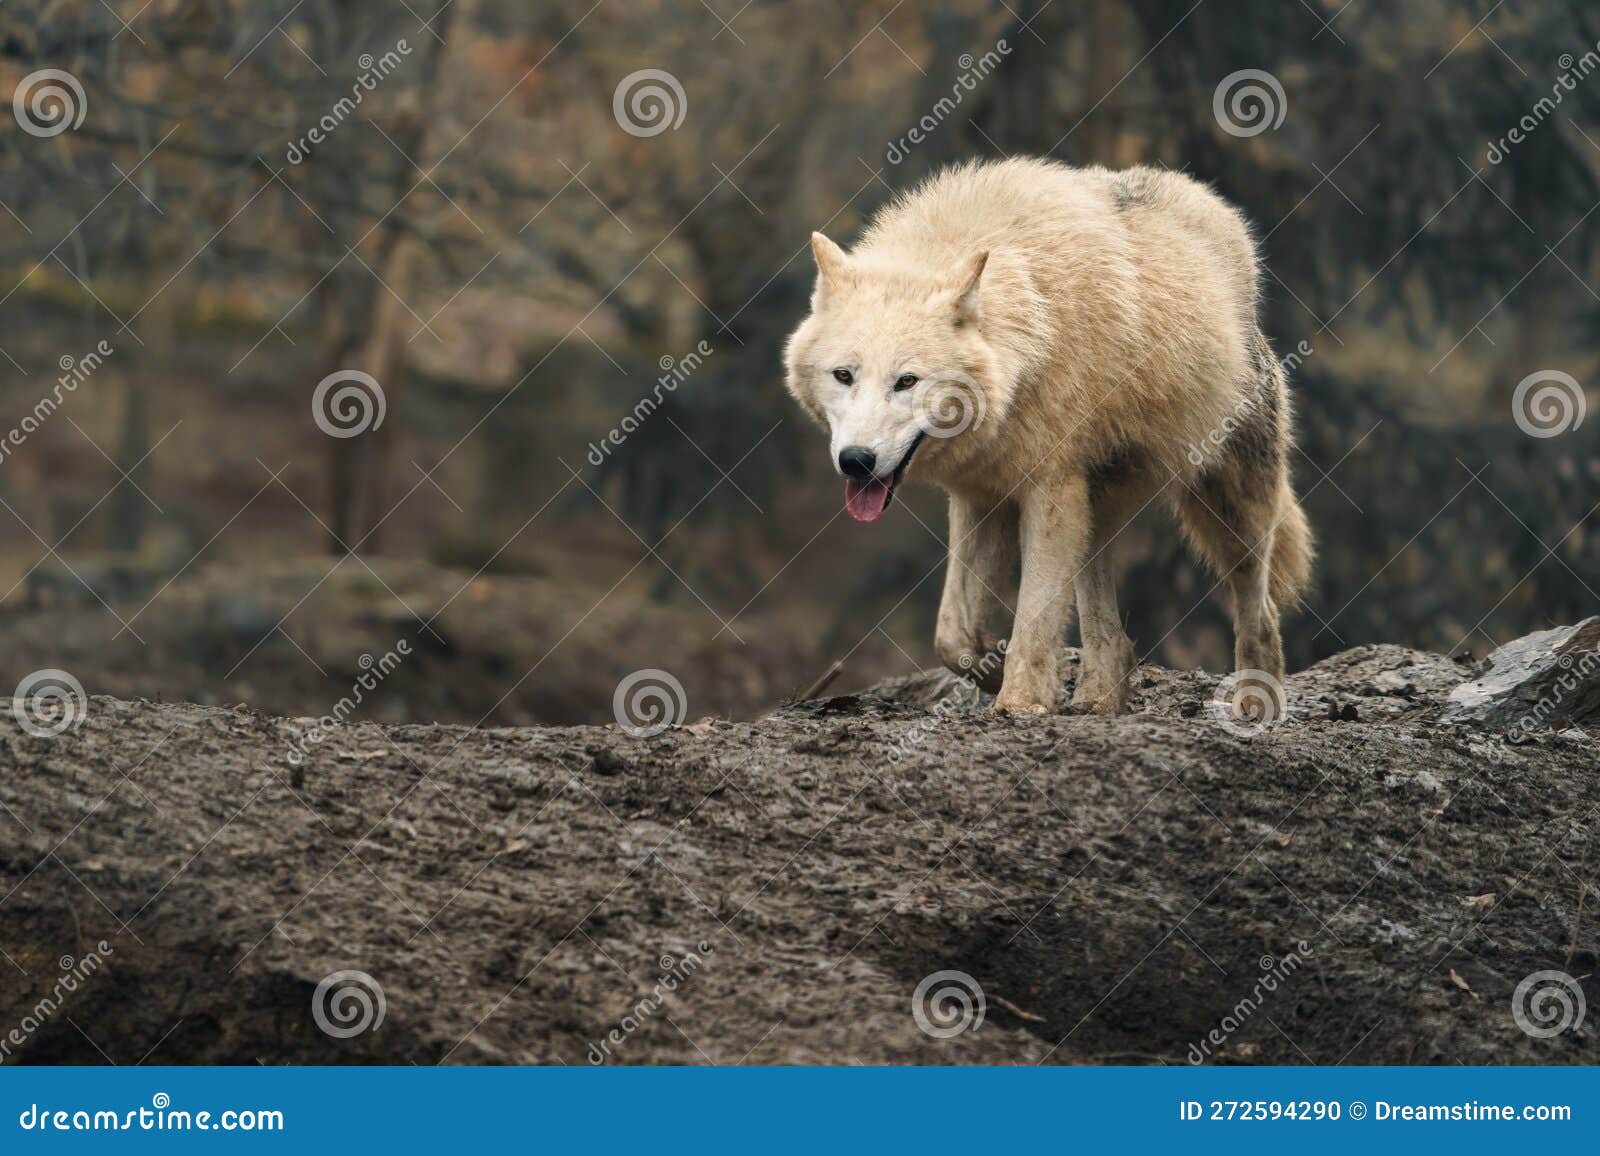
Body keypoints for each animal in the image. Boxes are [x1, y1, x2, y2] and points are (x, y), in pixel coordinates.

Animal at [783, 158, 1313, 716]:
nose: (856, 460)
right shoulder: (981, 493)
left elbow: (1035, 616)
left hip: (1230, 506)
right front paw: (994, 673)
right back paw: (1101, 695)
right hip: (1097, 506)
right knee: (1107, 620)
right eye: (844, 375)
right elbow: (952, 634)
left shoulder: (1050, 488)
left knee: (1260, 605)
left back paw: (1255, 701)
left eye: (906, 381)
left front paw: (1020, 702)